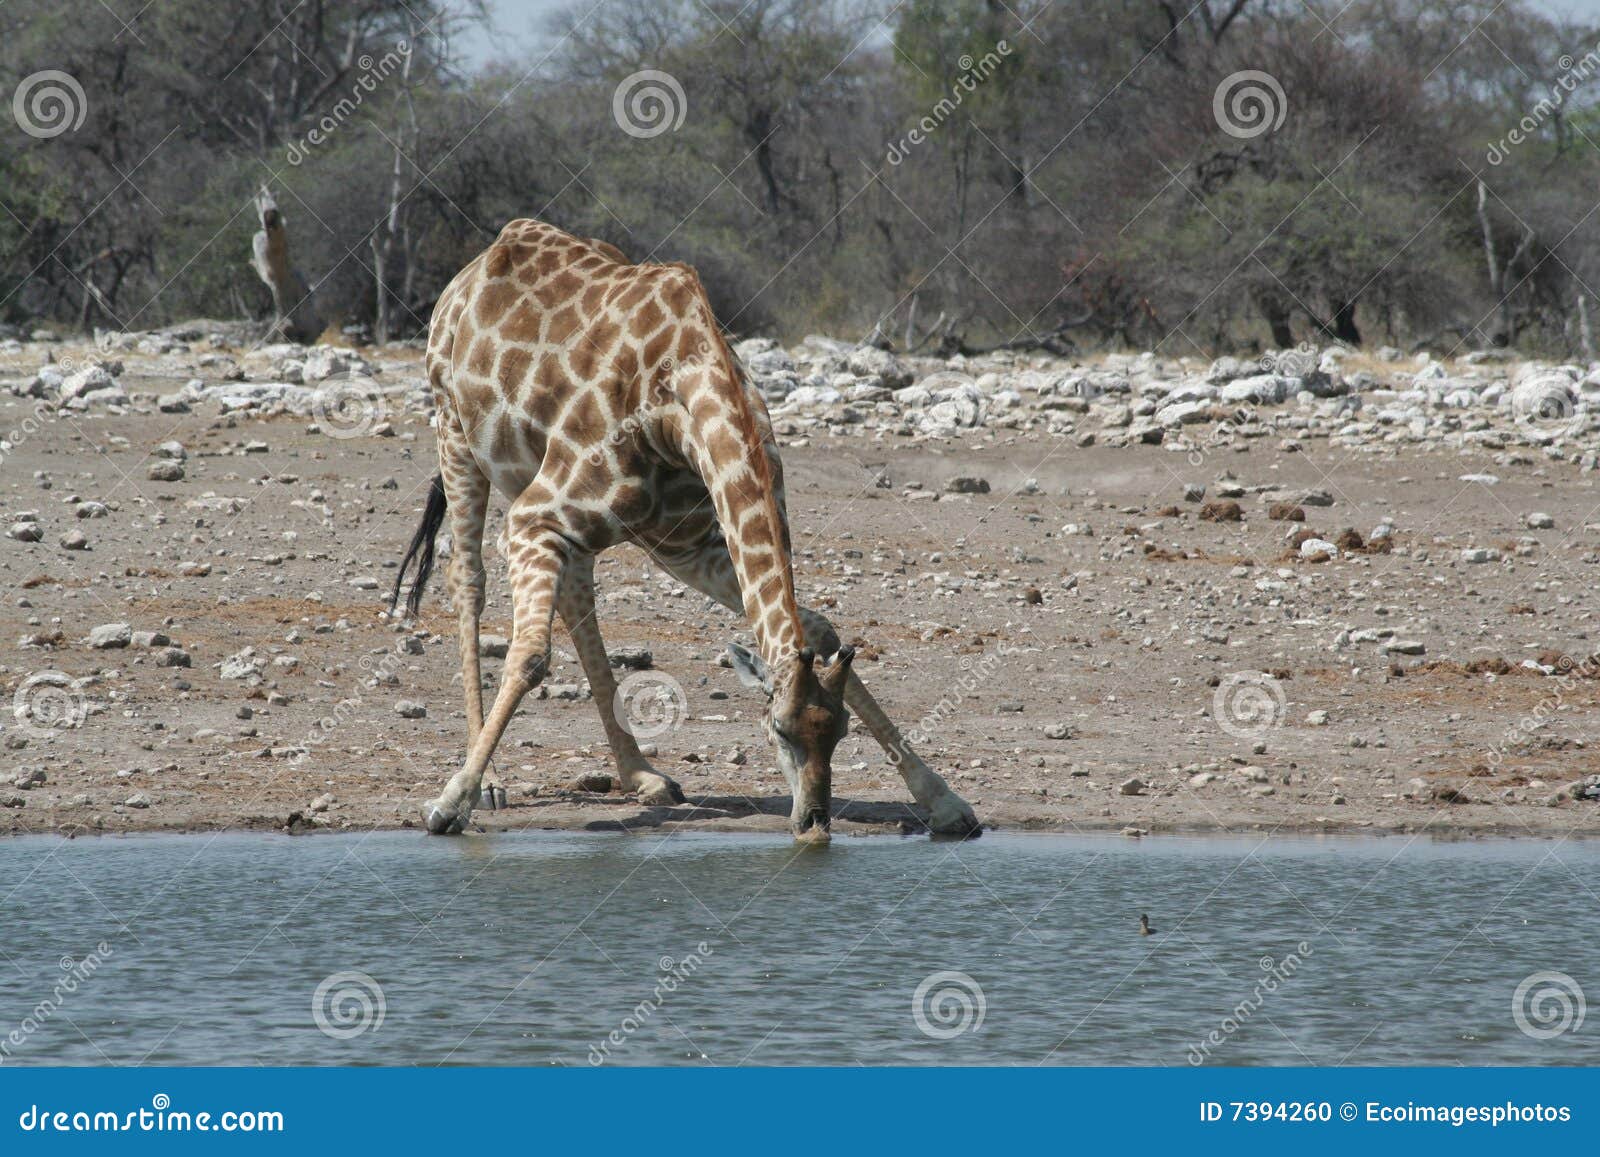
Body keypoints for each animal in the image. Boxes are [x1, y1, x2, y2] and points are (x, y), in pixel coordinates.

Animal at [392, 219, 979, 843]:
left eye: (840, 731)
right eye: (778, 729)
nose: (815, 823)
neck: (678, 403)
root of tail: (475, 266)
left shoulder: (691, 546)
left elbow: (819, 628)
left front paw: (945, 801)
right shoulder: (536, 516)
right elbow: (529, 656)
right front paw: (451, 802)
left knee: (577, 597)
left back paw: (642, 774)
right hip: (453, 428)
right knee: (468, 581)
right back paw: (494, 782)